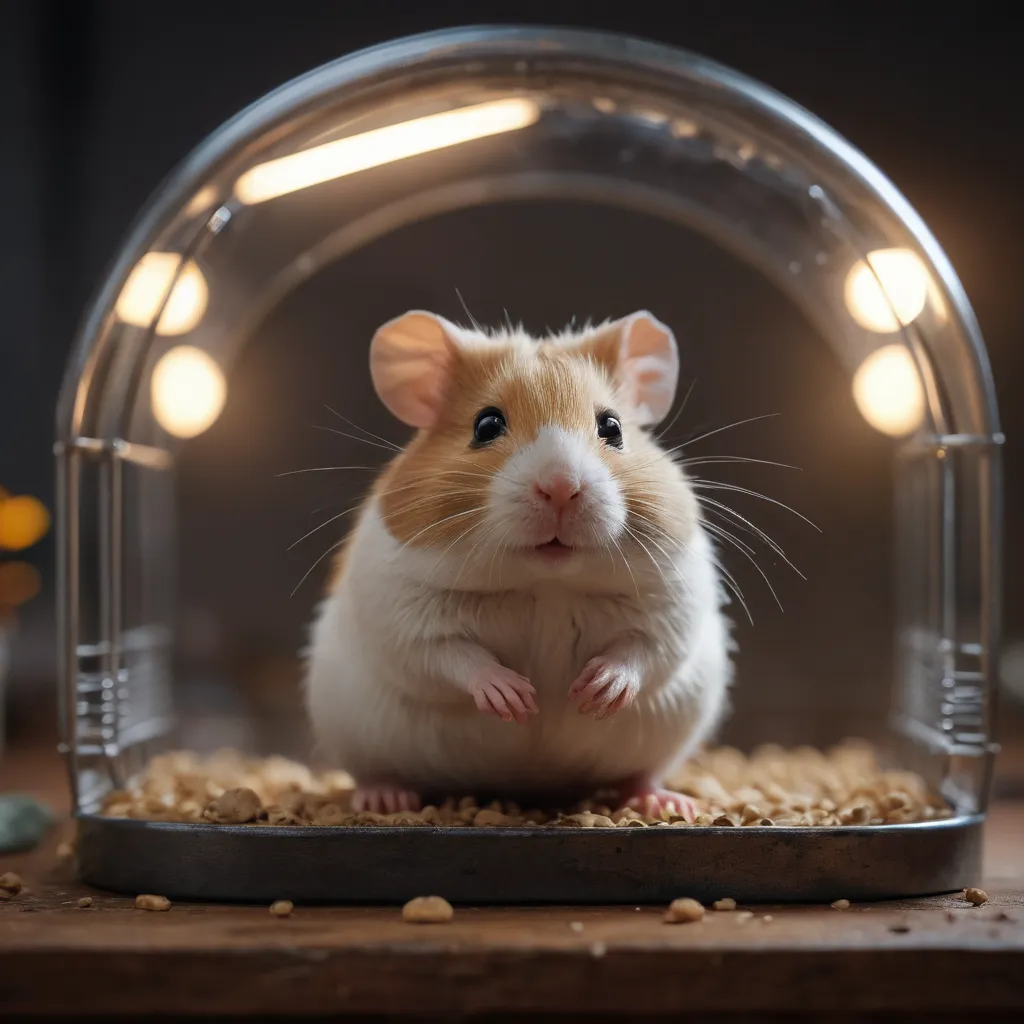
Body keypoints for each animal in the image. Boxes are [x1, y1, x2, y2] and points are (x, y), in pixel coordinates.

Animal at [303, 309, 732, 820]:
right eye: (486, 425)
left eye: (612, 427)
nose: (561, 487)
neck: (547, 583)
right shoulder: (405, 611)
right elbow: (453, 656)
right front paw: (518, 700)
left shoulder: (673, 599)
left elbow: (643, 650)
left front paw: (594, 692)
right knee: (378, 771)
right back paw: (386, 798)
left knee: (640, 773)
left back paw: (663, 801)